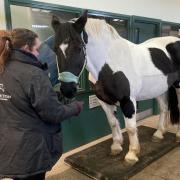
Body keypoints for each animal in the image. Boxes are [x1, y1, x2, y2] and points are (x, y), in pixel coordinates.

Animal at [51, 10, 180, 163]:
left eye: (79, 47)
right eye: (55, 49)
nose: (67, 90)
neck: (109, 63)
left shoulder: (128, 100)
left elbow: (130, 127)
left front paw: (132, 154)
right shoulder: (104, 100)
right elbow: (112, 122)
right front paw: (116, 146)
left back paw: (178, 135)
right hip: (159, 88)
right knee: (164, 108)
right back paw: (159, 134)